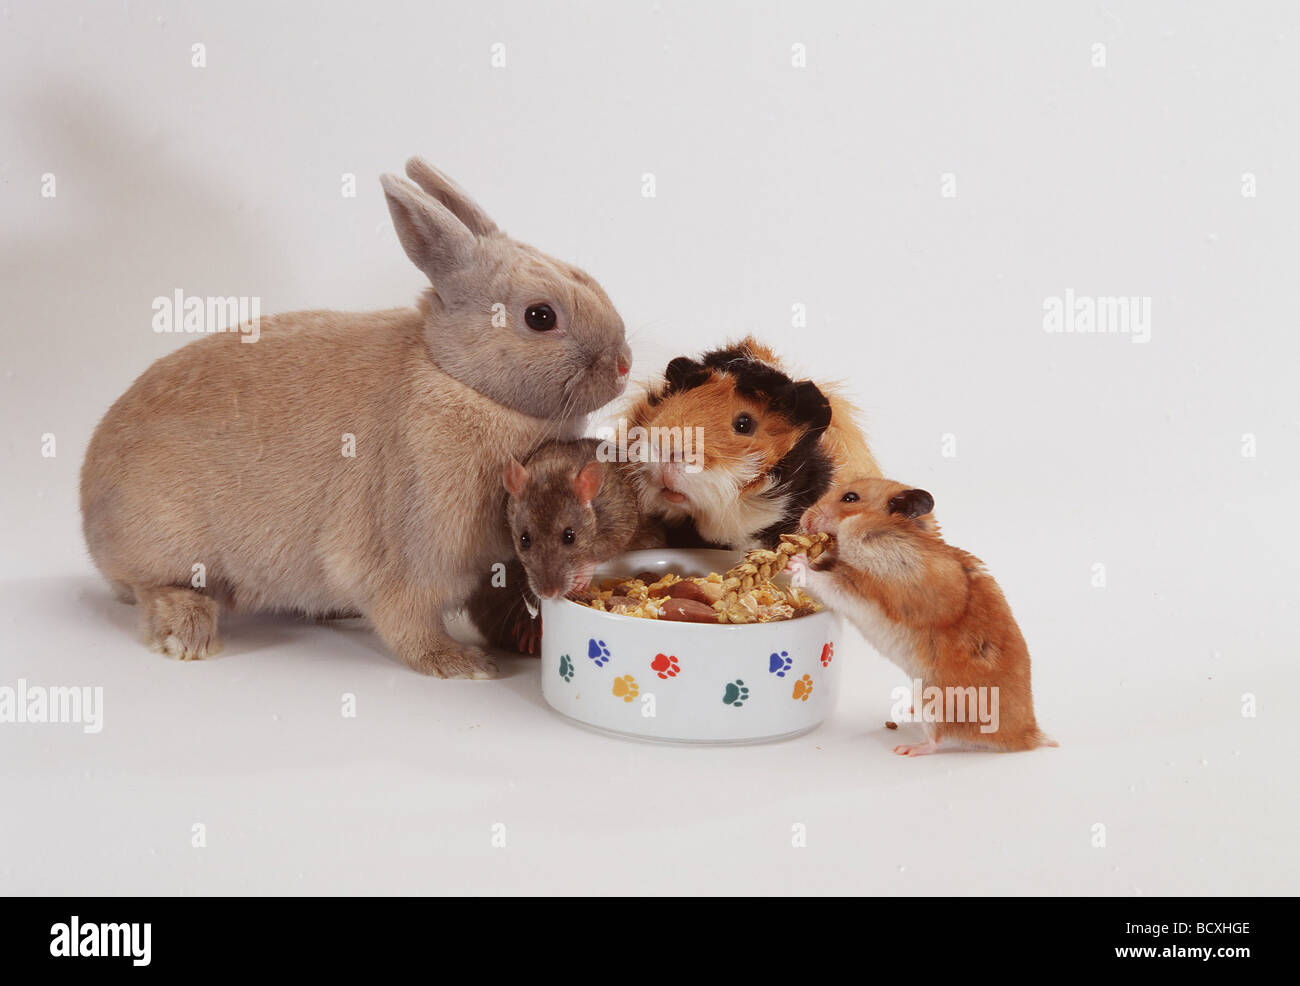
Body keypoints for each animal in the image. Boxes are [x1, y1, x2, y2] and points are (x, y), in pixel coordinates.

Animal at [80, 157, 632, 678]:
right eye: (540, 316)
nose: (624, 364)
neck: (459, 378)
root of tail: (88, 508)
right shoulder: (408, 549)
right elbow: (408, 620)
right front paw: (460, 665)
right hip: (168, 541)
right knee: (151, 588)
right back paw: (190, 634)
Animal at [466, 438, 652, 653]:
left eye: (570, 536)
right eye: (524, 539)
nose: (549, 594)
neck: (556, 466)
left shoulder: (619, 515)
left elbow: (611, 545)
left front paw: (583, 574)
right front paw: (532, 626)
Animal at [791, 477, 1054, 756]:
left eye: (850, 498)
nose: (805, 520)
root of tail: (1028, 736)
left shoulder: (865, 585)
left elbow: (826, 581)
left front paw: (795, 561)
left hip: (935, 700)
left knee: (937, 738)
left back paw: (906, 749)